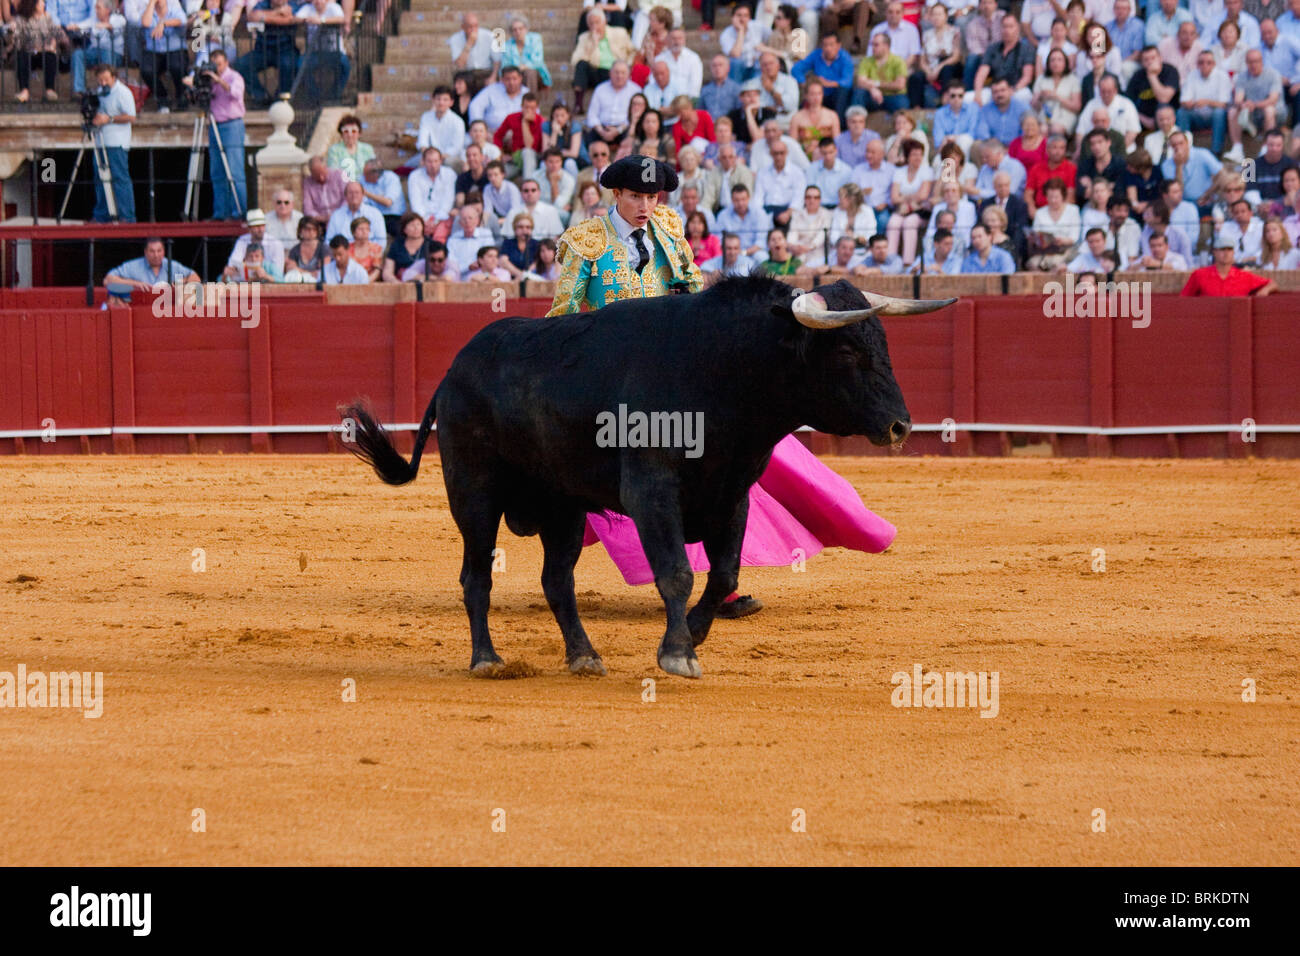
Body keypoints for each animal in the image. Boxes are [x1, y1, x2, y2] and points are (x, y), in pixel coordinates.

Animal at [339, 275, 955, 679]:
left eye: (884, 344)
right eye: (847, 352)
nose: (900, 425)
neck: (724, 370)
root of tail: (453, 370)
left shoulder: (732, 494)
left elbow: (724, 573)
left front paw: (697, 632)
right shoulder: (651, 492)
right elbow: (677, 572)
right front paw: (678, 651)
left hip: (563, 506)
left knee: (556, 579)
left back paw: (584, 656)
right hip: (475, 494)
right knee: (476, 576)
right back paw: (487, 659)